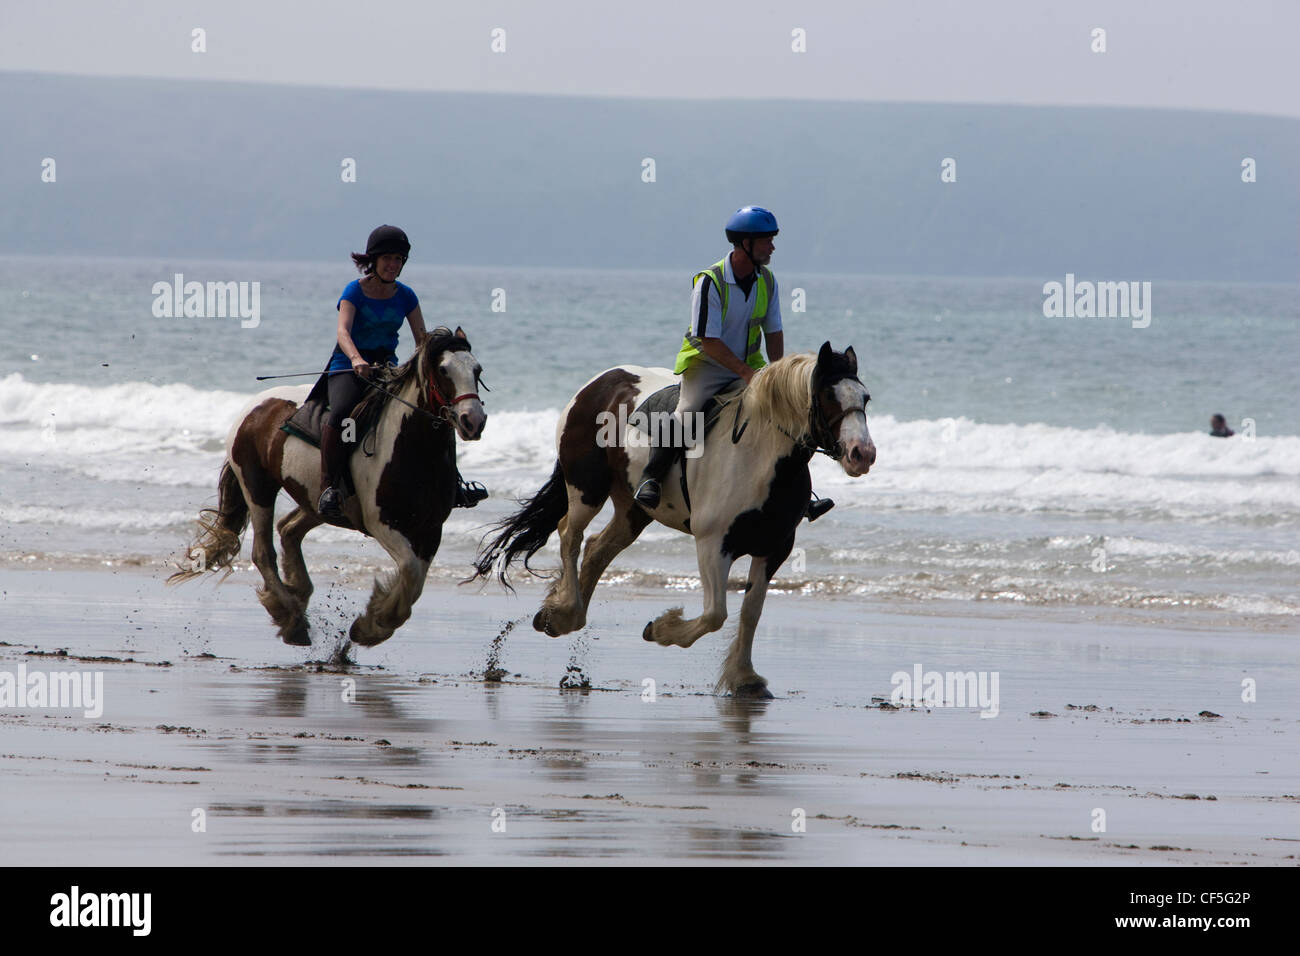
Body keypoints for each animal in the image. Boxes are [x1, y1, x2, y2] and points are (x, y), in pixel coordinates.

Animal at [169, 326, 486, 648]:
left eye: (477, 369)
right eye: (444, 370)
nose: (473, 421)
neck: (412, 447)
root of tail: (254, 407)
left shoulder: (431, 529)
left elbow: (416, 582)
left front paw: (374, 622)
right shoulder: (383, 525)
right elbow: (410, 572)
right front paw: (371, 626)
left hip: (316, 501)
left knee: (288, 528)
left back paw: (298, 593)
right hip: (257, 488)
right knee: (263, 552)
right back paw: (292, 619)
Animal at [473, 342, 874, 698]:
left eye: (866, 399)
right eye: (828, 397)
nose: (863, 455)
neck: (762, 458)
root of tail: (597, 384)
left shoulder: (774, 548)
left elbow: (750, 613)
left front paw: (745, 679)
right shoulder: (713, 544)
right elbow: (715, 615)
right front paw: (662, 629)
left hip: (633, 509)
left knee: (598, 548)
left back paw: (564, 616)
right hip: (587, 489)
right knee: (570, 534)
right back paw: (565, 612)